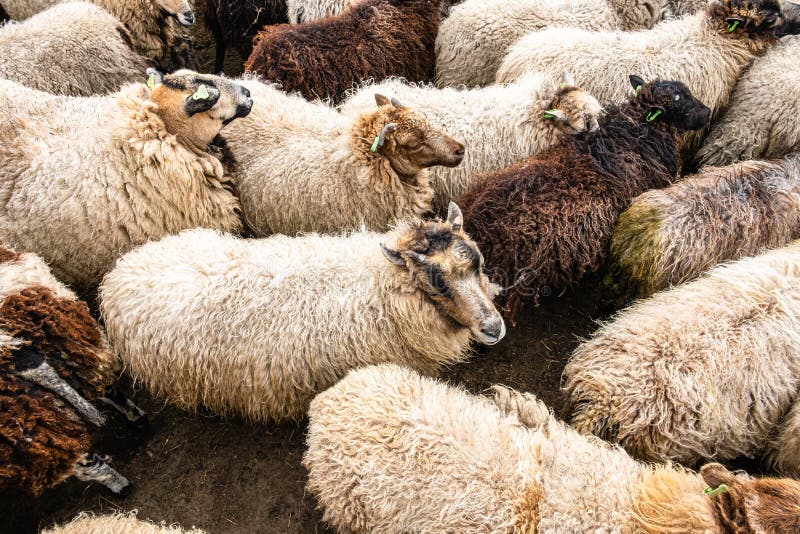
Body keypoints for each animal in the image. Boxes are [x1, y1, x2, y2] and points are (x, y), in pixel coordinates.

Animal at [0, 246, 138, 496]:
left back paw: (120, 486)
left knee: (86, 463)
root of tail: (18, 354)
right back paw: (135, 417)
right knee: (106, 390)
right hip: (79, 352)